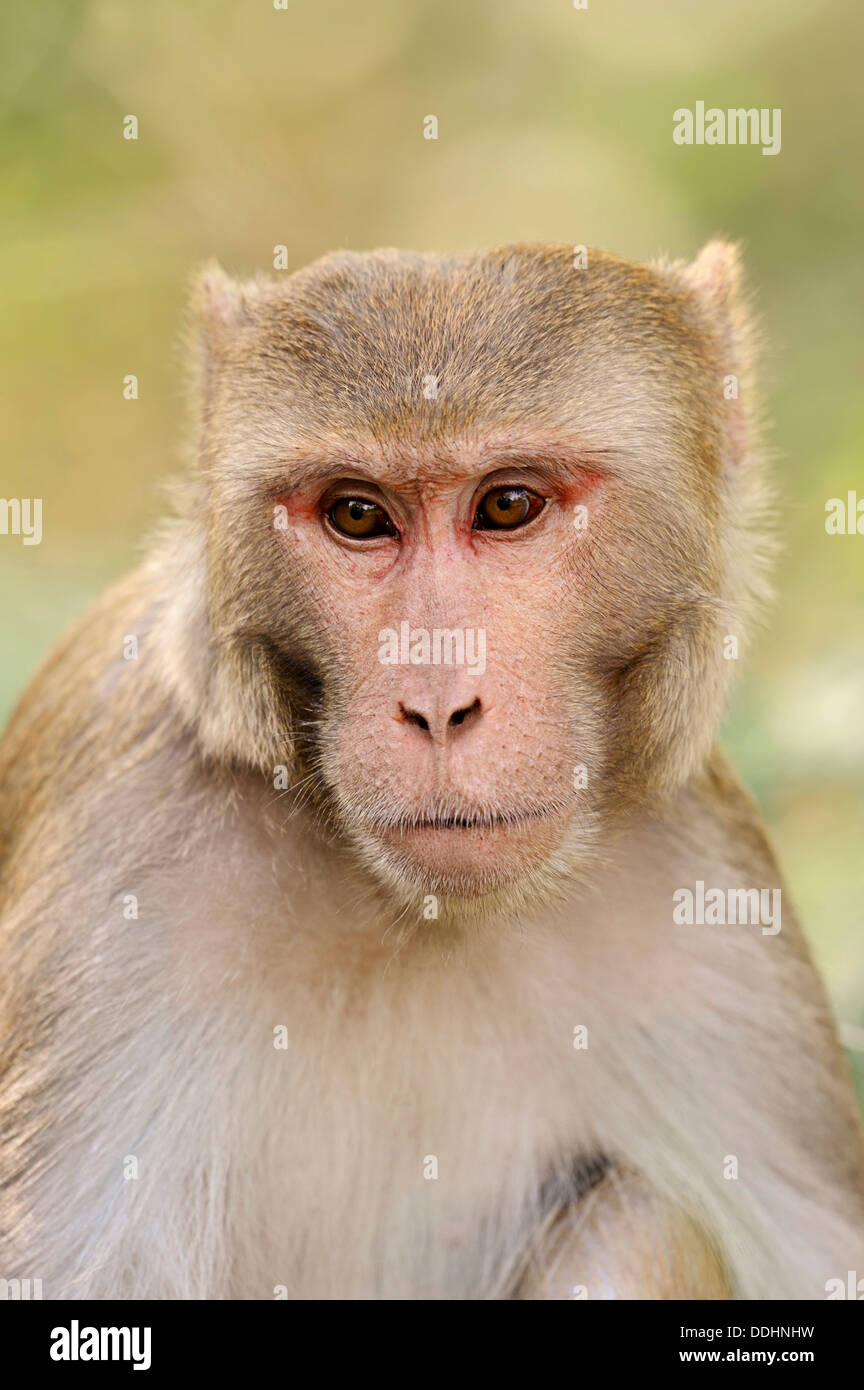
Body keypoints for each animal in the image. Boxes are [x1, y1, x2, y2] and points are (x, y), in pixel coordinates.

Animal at [0, 240, 862, 1301]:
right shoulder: (120, 849)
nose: (439, 705)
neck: (414, 912)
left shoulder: (716, 905)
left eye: (507, 504)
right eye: (357, 515)